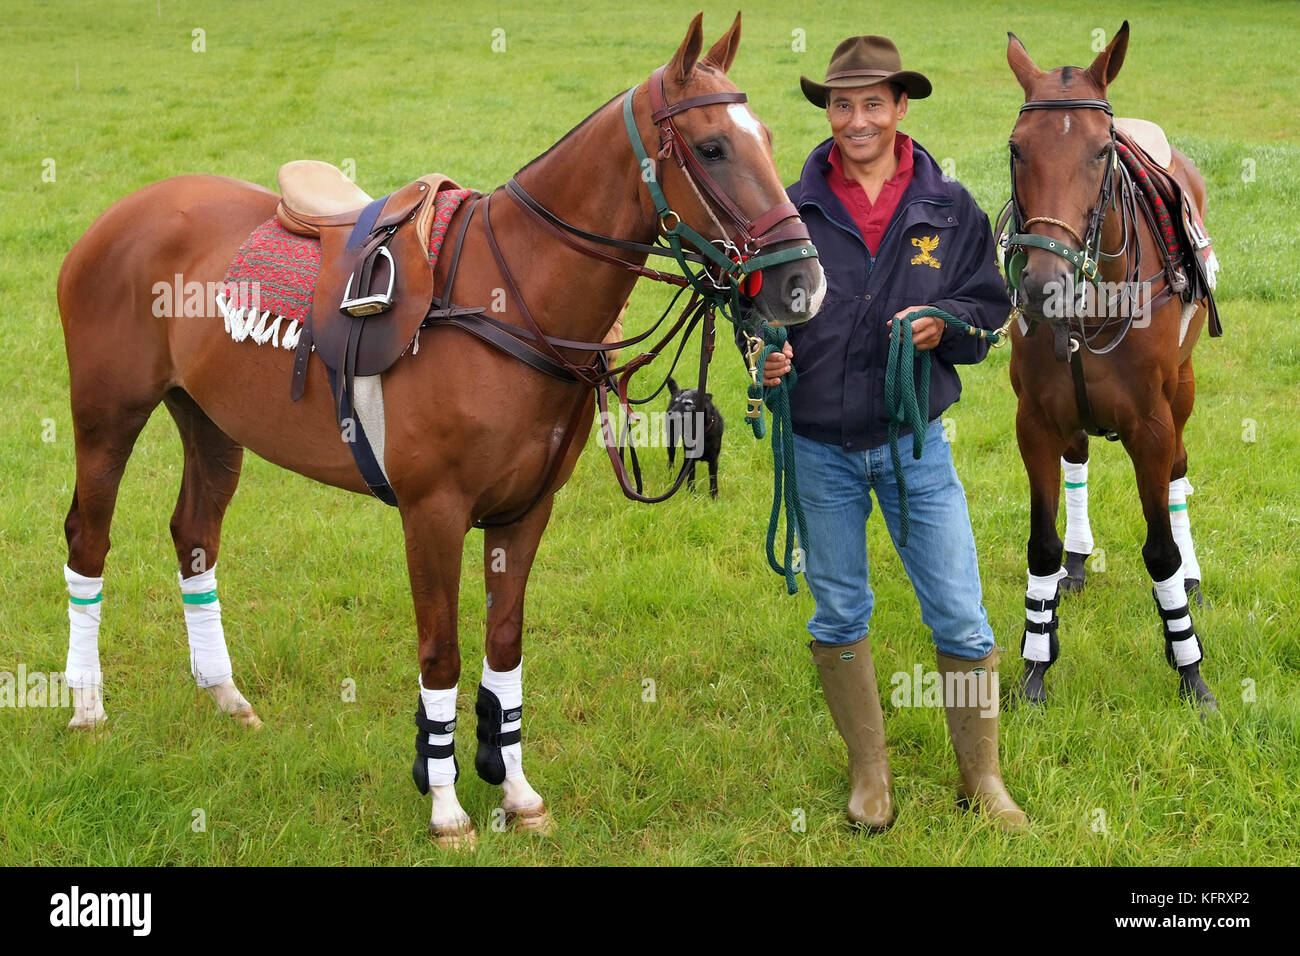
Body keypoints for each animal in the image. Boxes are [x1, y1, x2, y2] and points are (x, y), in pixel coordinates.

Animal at [55, 12, 825, 846]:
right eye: (713, 147)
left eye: (770, 138)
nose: (803, 284)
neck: (513, 299)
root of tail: (119, 213)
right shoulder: (433, 512)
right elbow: (442, 655)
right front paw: (446, 800)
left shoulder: (525, 510)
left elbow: (504, 646)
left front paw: (514, 787)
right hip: (106, 414)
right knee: (88, 539)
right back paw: (88, 707)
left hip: (210, 420)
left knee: (194, 532)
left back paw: (224, 696)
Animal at [1002, 22, 1218, 711]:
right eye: (1017, 149)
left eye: (1101, 152)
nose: (1043, 284)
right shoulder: (1034, 421)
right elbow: (1040, 546)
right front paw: (1036, 663)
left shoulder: (1151, 425)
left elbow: (1161, 551)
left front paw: (1190, 672)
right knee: (1078, 458)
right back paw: (1078, 561)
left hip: (1183, 388)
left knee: (1179, 471)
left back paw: (1194, 576)